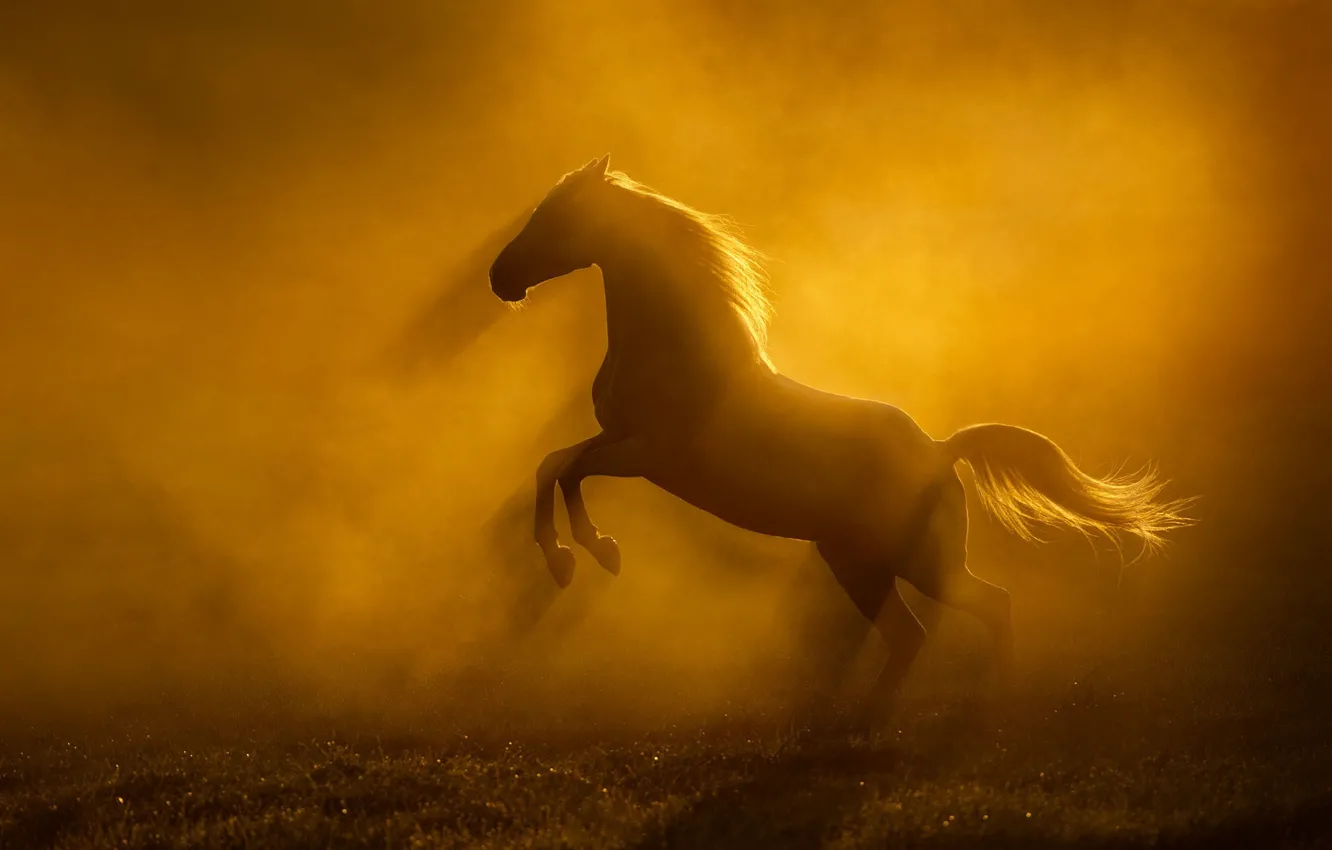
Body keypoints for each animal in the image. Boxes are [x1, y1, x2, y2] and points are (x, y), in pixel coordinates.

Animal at [487, 155, 1193, 716]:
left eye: (557, 217)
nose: (499, 278)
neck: (678, 353)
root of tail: (940, 453)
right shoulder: (621, 443)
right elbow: (553, 464)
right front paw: (573, 559)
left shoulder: (648, 454)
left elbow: (567, 468)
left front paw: (590, 554)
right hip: (860, 563)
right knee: (913, 635)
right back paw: (859, 722)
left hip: (915, 562)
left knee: (988, 606)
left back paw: (987, 703)